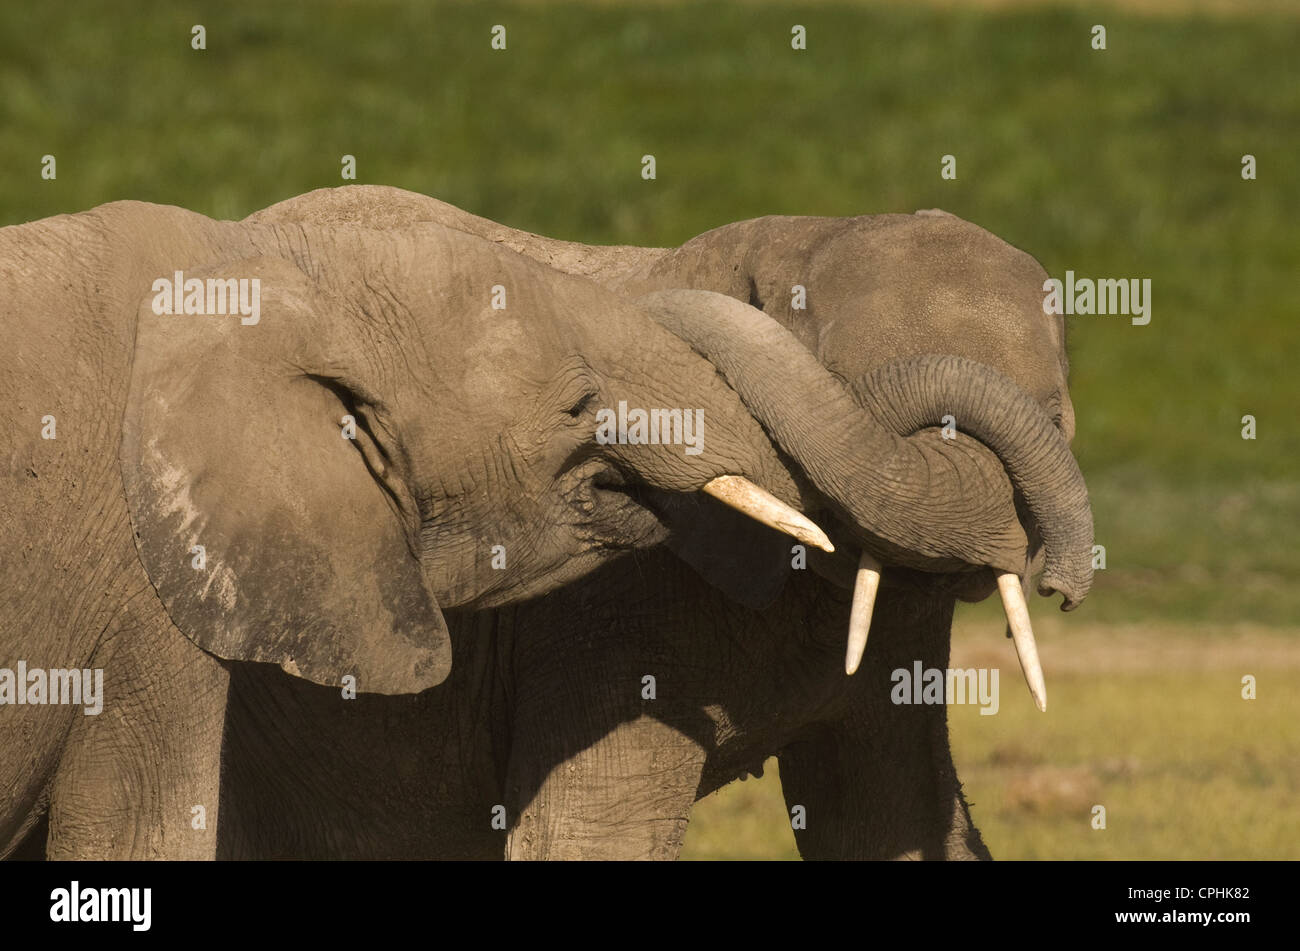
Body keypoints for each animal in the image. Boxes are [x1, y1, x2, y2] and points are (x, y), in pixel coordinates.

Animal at [0, 195, 1087, 859]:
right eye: (844, 377)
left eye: (1061, 414)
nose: (1064, 582)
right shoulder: (614, 628)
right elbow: (589, 834)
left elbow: (895, 818)